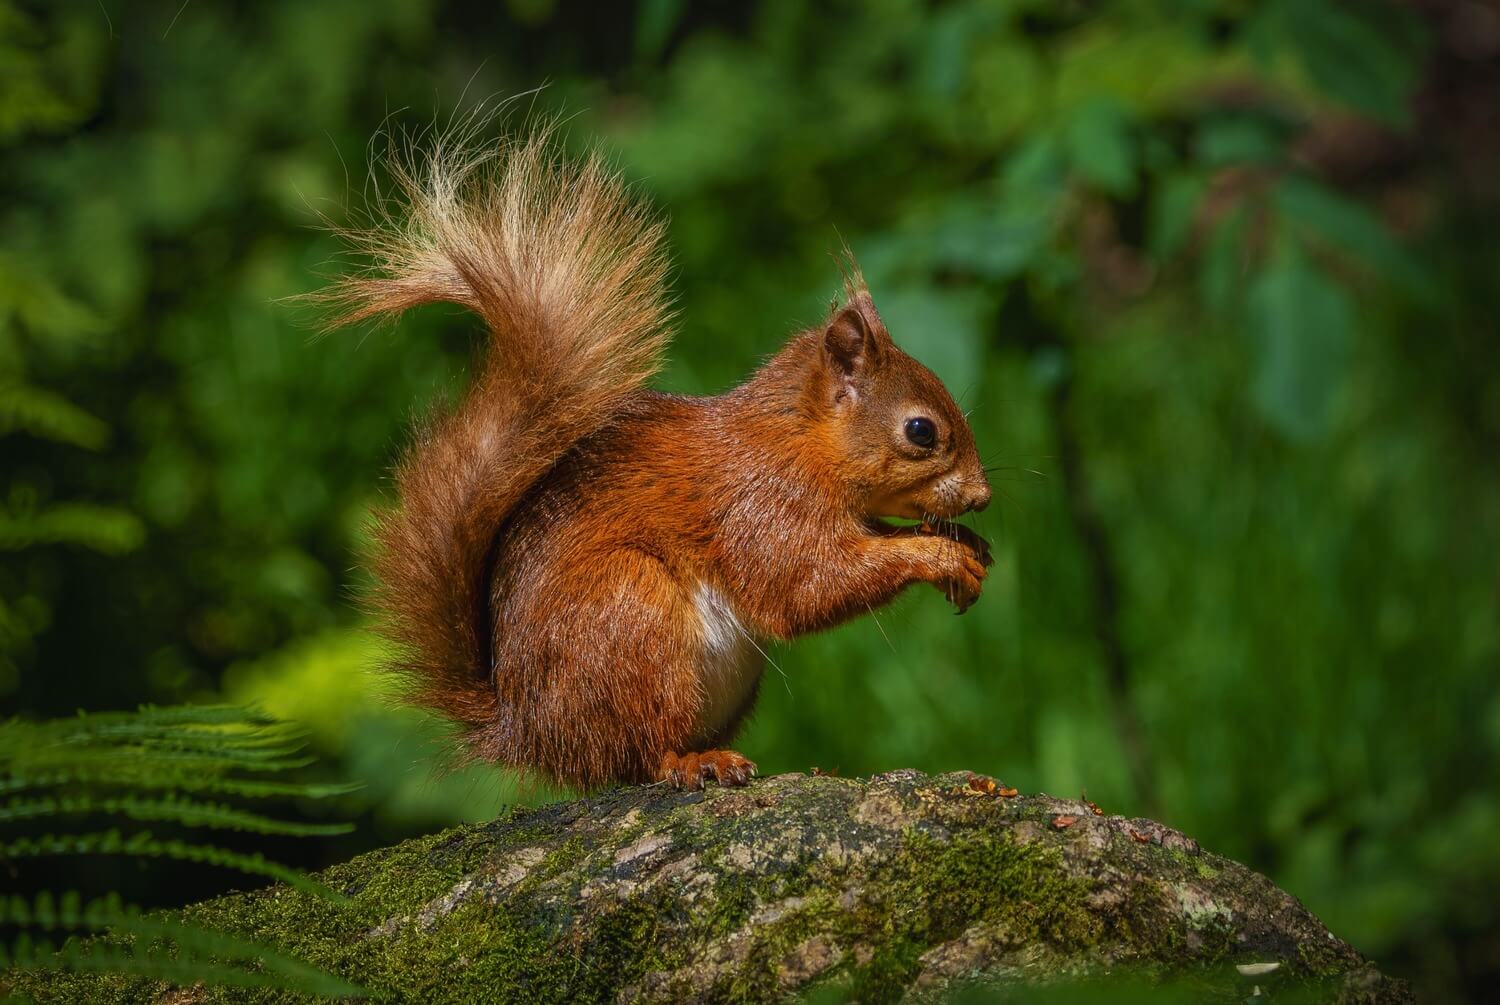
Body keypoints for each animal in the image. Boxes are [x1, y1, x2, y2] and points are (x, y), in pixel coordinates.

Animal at [321, 127, 993, 791]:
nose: (983, 497)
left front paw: (967, 546)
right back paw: (694, 763)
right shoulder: (760, 506)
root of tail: (530, 733)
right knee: (643, 756)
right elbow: (806, 586)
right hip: (632, 615)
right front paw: (936, 555)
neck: (794, 443)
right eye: (921, 431)